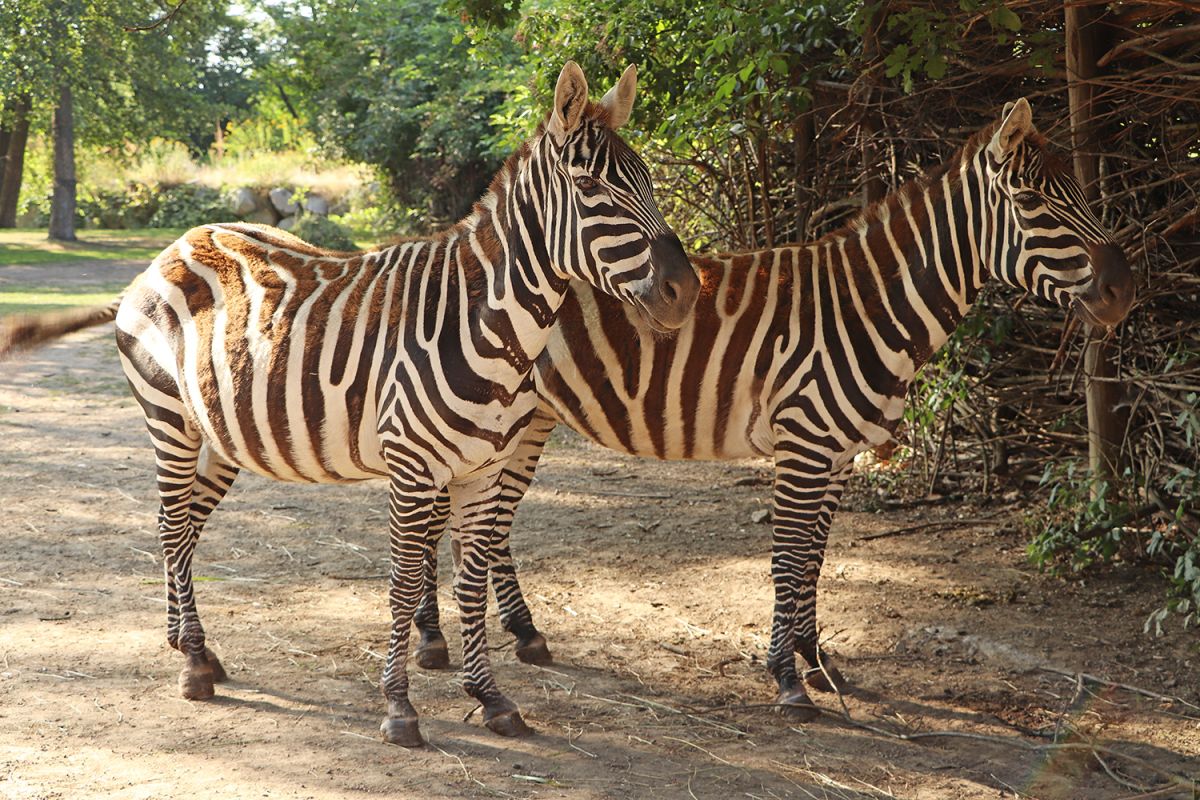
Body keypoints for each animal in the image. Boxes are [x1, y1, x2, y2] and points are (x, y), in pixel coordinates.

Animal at [0, 62, 701, 747]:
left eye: (647, 181)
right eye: (590, 187)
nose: (685, 290)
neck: (486, 324)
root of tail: (172, 247)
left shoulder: (482, 469)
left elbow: (471, 579)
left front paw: (491, 698)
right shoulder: (413, 469)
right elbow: (404, 585)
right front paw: (399, 708)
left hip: (222, 432)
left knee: (184, 524)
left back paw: (188, 645)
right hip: (167, 417)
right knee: (174, 526)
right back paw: (194, 663)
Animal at [415, 98, 1136, 718]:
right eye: (1033, 201)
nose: (1125, 291)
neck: (871, 308)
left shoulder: (840, 453)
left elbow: (813, 557)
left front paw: (817, 659)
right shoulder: (806, 444)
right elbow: (787, 558)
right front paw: (788, 679)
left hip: (524, 419)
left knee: (482, 524)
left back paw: (520, 632)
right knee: (449, 517)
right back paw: (433, 637)